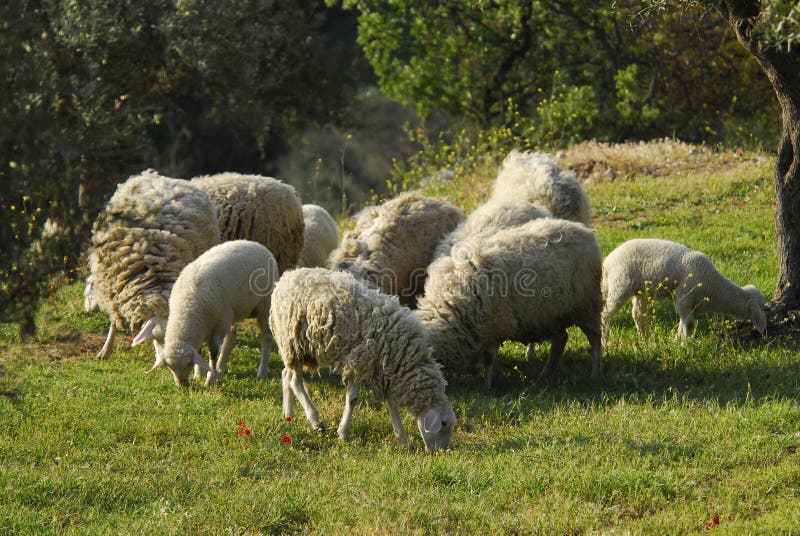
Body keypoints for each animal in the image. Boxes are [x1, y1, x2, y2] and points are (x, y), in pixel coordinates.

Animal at [88, 170, 221, 359]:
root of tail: (160, 176)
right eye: (156, 337)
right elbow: (114, 319)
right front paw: (105, 350)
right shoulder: (111, 286)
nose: (167, 360)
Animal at [144, 240, 279, 386]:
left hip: (264, 306)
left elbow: (212, 352)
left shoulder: (219, 324)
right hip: (231, 312)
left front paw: (210, 379)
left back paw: (261, 372)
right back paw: (221, 368)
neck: (188, 306)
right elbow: (198, 350)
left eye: (188, 364)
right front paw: (199, 375)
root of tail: (257, 244)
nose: (182, 385)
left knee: (266, 338)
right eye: (169, 367)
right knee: (231, 337)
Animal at [269, 267, 456, 452]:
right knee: (295, 381)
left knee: (286, 374)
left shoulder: (384, 371)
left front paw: (402, 437)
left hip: (297, 348)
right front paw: (343, 433)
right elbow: (352, 399)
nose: (440, 452)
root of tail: (287, 276)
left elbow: (391, 404)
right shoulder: (359, 361)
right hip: (292, 341)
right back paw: (316, 421)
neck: (404, 354)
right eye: (444, 423)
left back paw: (288, 415)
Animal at [416, 218, 603, 388]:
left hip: (586, 306)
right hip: (554, 313)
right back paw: (545, 375)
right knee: (560, 340)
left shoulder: (495, 326)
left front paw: (487, 386)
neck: (450, 305)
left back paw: (595, 375)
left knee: (595, 339)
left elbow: (490, 359)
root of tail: (584, 230)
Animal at [601, 238, 767, 341]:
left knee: (638, 314)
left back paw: (645, 339)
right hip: (620, 285)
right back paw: (605, 339)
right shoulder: (684, 298)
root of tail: (606, 263)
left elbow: (683, 322)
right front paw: (685, 344)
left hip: (641, 290)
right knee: (605, 313)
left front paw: (677, 339)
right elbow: (688, 324)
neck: (714, 288)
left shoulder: (689, 304)